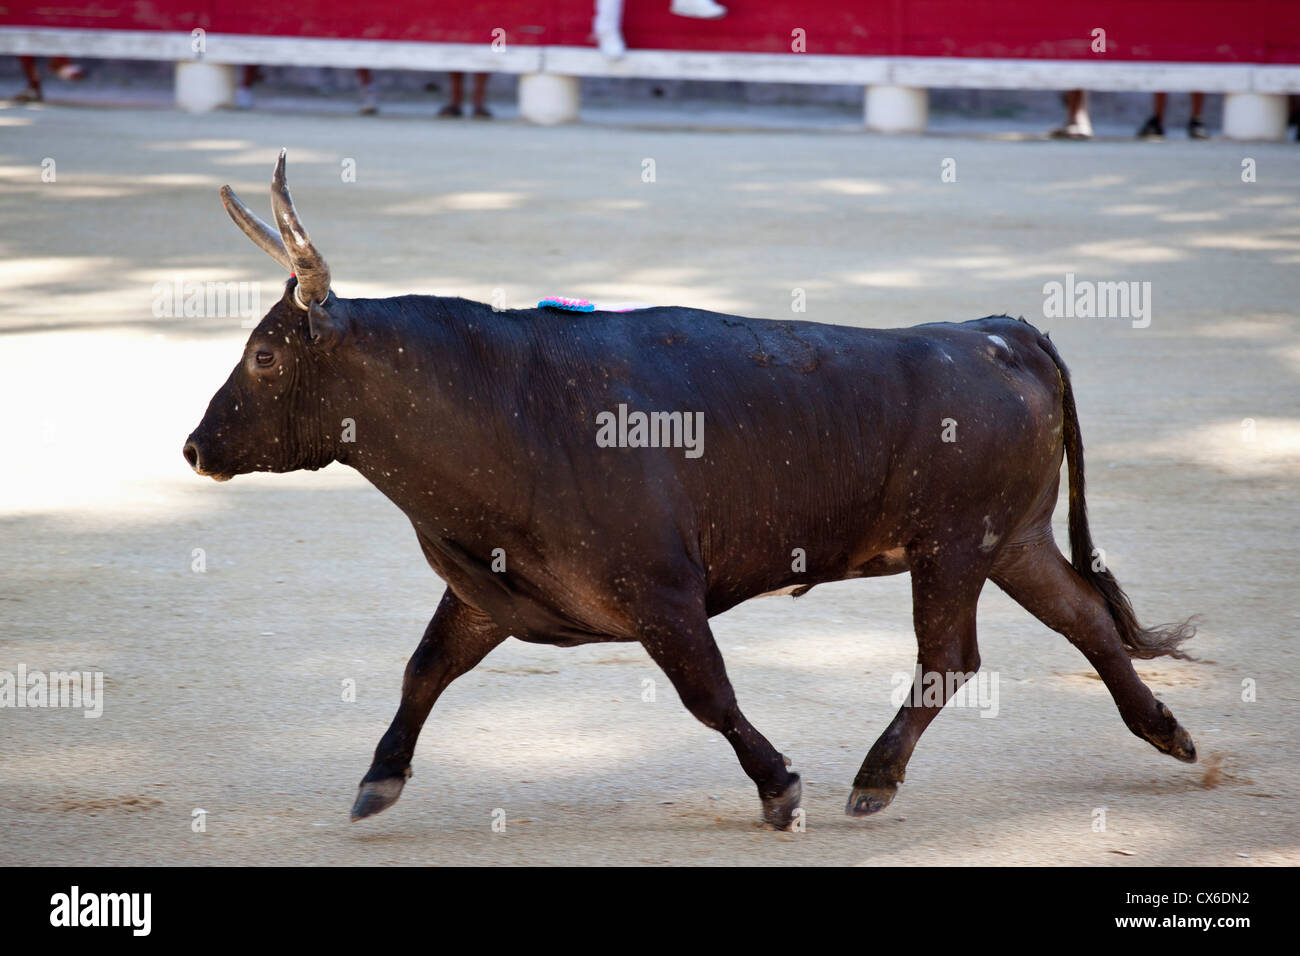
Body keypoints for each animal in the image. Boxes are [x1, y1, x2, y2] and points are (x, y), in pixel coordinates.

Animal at [184, 151, 1196, 830]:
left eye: (265, 355)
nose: (194, 449)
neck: (506, 401)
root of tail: (1000, 333)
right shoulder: (487, 591)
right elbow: (424, 668)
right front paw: (378, 780)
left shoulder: (662, 597)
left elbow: (707, 693)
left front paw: (781, 787)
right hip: (1009, 540)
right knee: (1085, 617)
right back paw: (1167, 733)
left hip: (952, 548)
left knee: (951, 657)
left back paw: (874, 779)